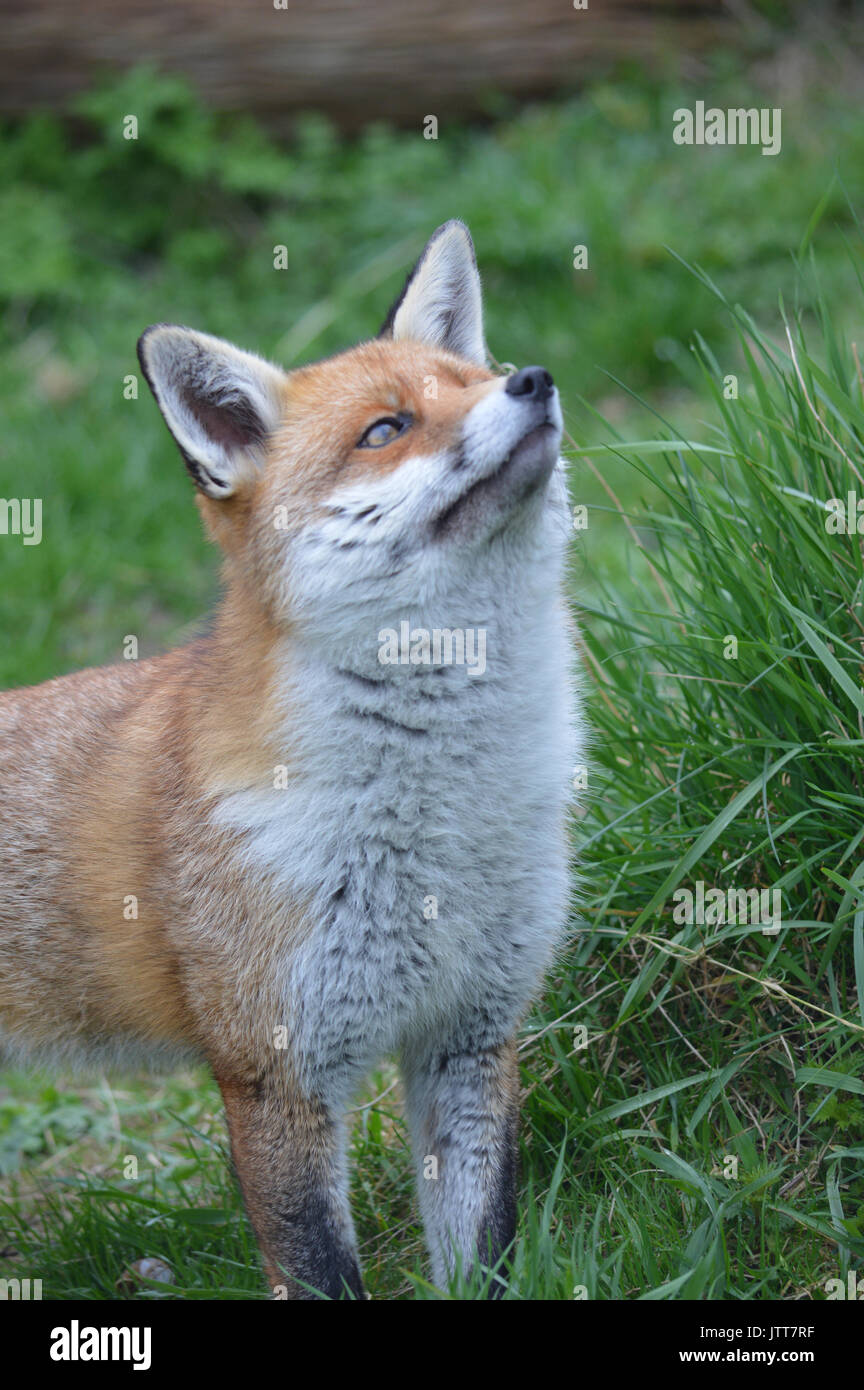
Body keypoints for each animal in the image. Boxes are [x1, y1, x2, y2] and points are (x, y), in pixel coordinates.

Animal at [0, 221, 581, 1299]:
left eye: (475, 378)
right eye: (386, 430)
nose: (532, 379)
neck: (434, 813)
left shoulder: (471, 1034)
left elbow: (483, 1249)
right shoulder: (275, 1072)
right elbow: (320, 1268)